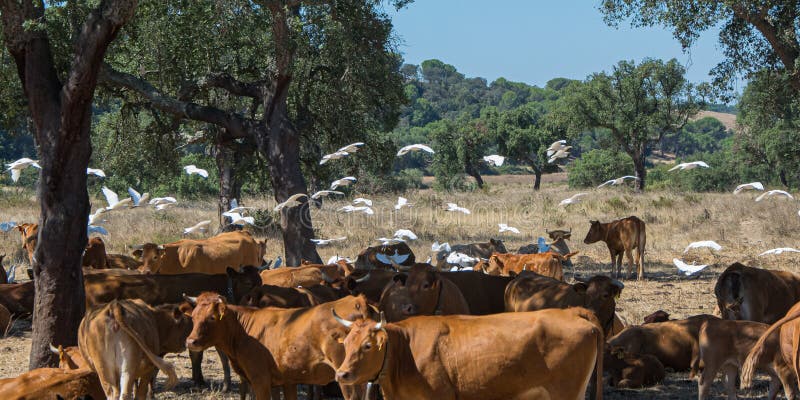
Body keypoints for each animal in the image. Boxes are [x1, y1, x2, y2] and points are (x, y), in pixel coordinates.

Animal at [184, 292, 377, 400]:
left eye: (212, 317)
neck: (243, 331)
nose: (190, 341)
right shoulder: (286, 381)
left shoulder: (260, 380)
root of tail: (357, 300)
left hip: (348, 380)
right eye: (193, 316)